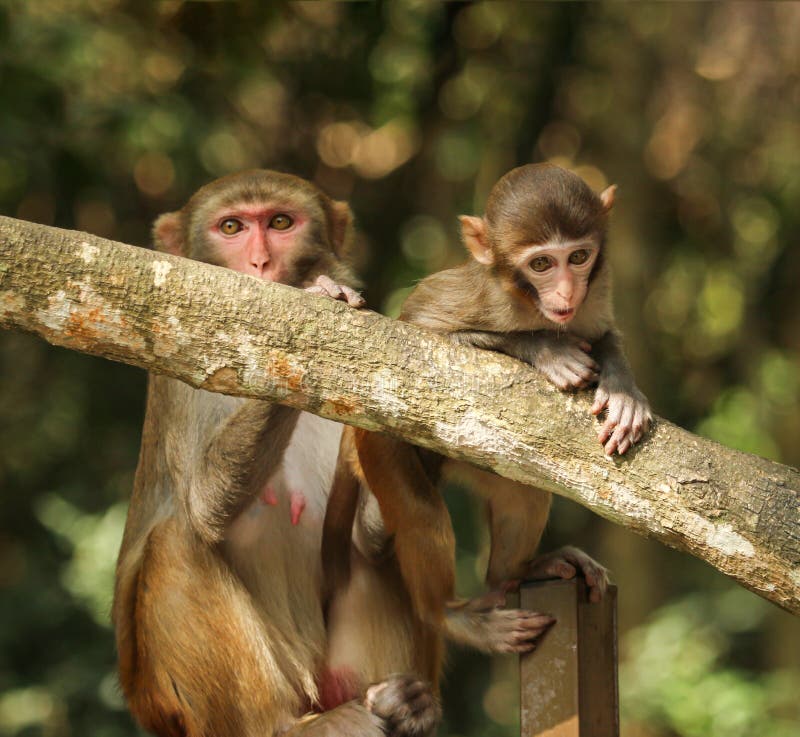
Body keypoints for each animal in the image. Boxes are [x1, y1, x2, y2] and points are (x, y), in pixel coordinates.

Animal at [112, 170, 442, 737]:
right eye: (231, 228)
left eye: (281, 222)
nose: (261, 263)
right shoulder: (176, 372)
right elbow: (204, 504)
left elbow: (372, 535)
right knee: (176, 540)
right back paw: (285, 726)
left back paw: (402, 704)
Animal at [323, 163, 648, 640]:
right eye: (541, 263)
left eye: (578, 257)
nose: (567, 294)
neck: (527, 301)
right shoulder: (475, 298)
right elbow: (418, 337)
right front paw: (549, 349)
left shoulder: (598, 289)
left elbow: (603, 334)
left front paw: (624, 390)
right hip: (373, 448)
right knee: (420, 510)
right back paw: (449, 615)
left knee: (522, 489)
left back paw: (516, 571)